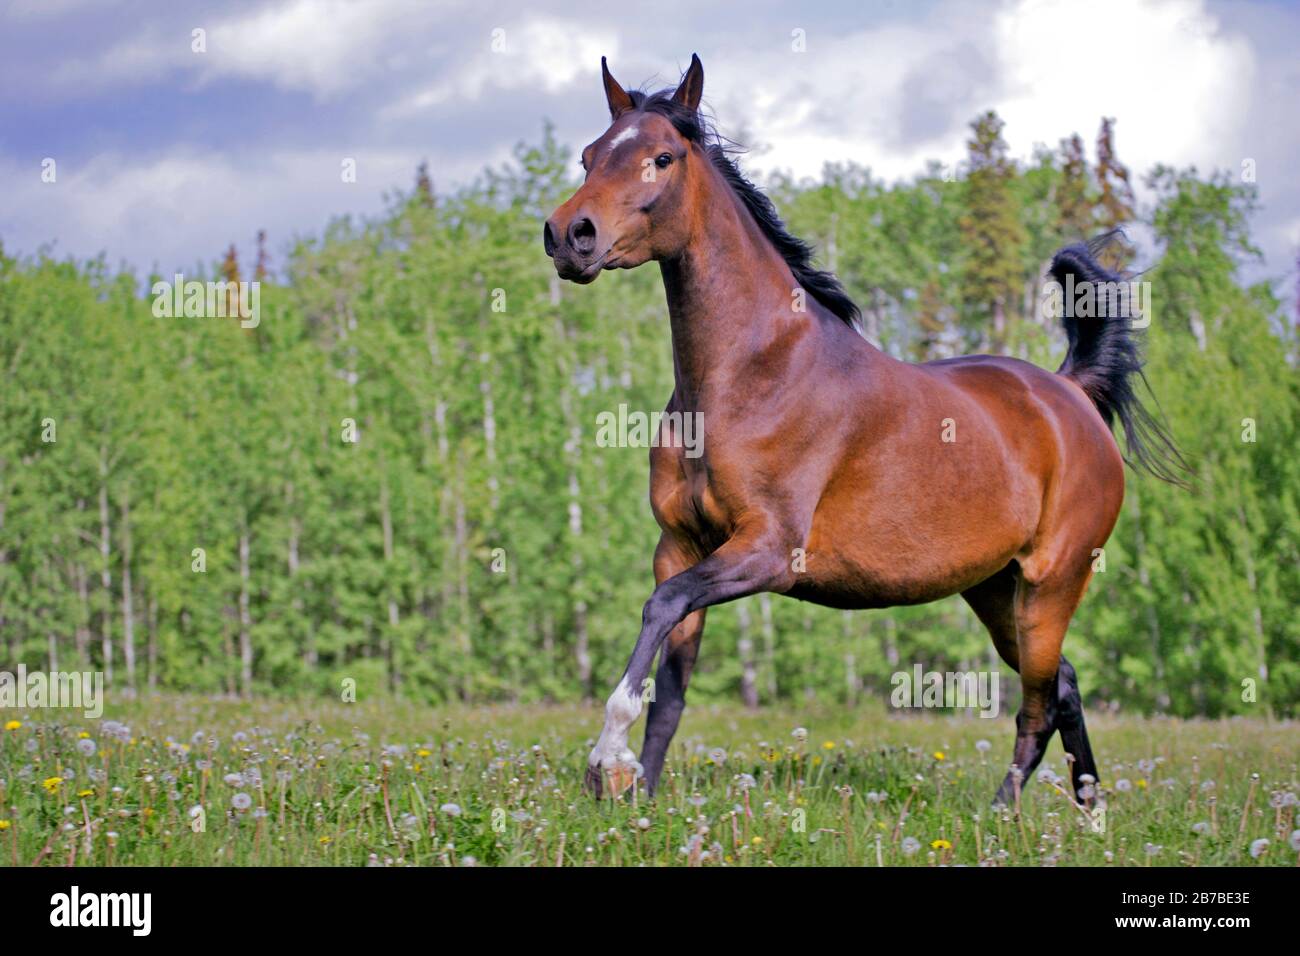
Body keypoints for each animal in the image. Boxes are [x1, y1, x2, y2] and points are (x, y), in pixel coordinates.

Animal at [543, 54, 1184, 805]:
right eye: (590, 156)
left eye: (662, 158)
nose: (569, 235)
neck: (750, 377)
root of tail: (1071, 394)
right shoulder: (679, 546)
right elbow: (669, 685)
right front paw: (640, 797)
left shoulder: (767, 550)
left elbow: (658, 611)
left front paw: (605, 761)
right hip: (996, 590)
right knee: (1064, 686)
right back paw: (1087, 810)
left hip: (1053, 583)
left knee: (1037, 705)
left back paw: (1004, 814)